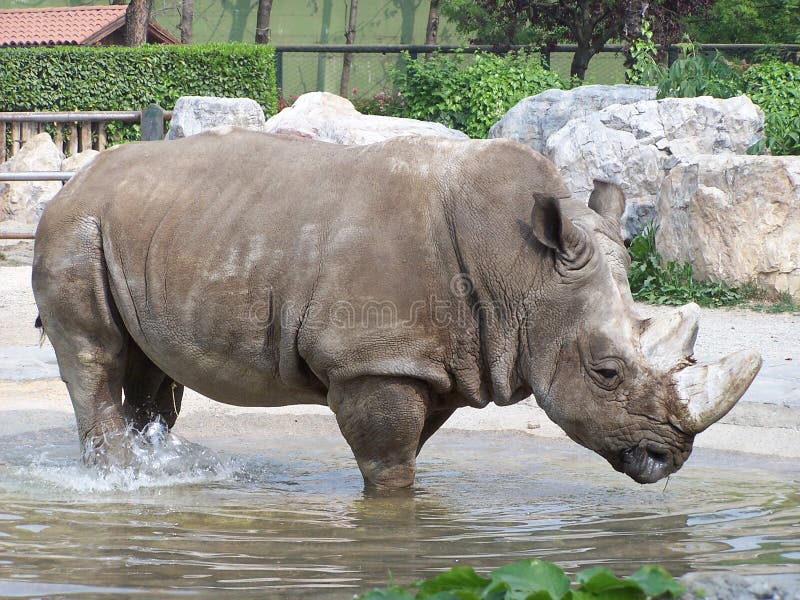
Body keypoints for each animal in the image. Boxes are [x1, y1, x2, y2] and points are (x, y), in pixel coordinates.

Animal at [32, 130, 761, 488]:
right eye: (606, 372)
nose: (670, 458)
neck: (523, 271)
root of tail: (73, 178)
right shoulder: (374, 361)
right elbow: (389, 469)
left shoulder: (433, 362)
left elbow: (408, 456)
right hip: (75, 228)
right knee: (96, 358)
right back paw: (119, 480)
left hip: (156, 228)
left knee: (153, 373)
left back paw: (157, 472)